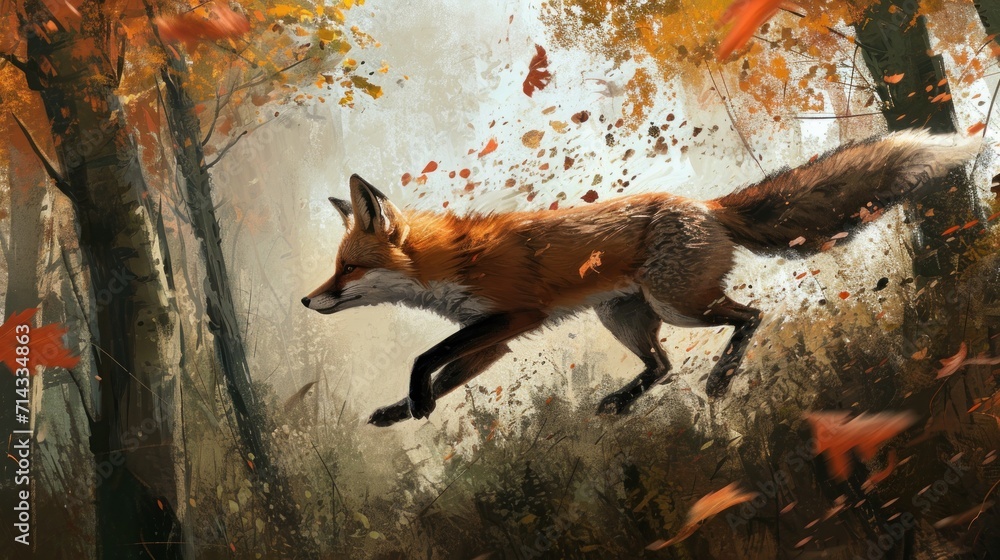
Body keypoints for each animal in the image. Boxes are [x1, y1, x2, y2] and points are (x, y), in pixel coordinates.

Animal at [302, 130, 978, 427]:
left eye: (347, 268)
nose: (308, 300)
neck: (453, 262)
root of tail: (706, 206)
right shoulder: (492, 338)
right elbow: (444, 372)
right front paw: (404, 409)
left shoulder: (514, 314)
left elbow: (425, 356)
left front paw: (414, 400)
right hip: (623, 315)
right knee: (662, 366)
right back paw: (624, 402)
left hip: (678, 305)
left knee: (750, 316)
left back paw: (721, 379)